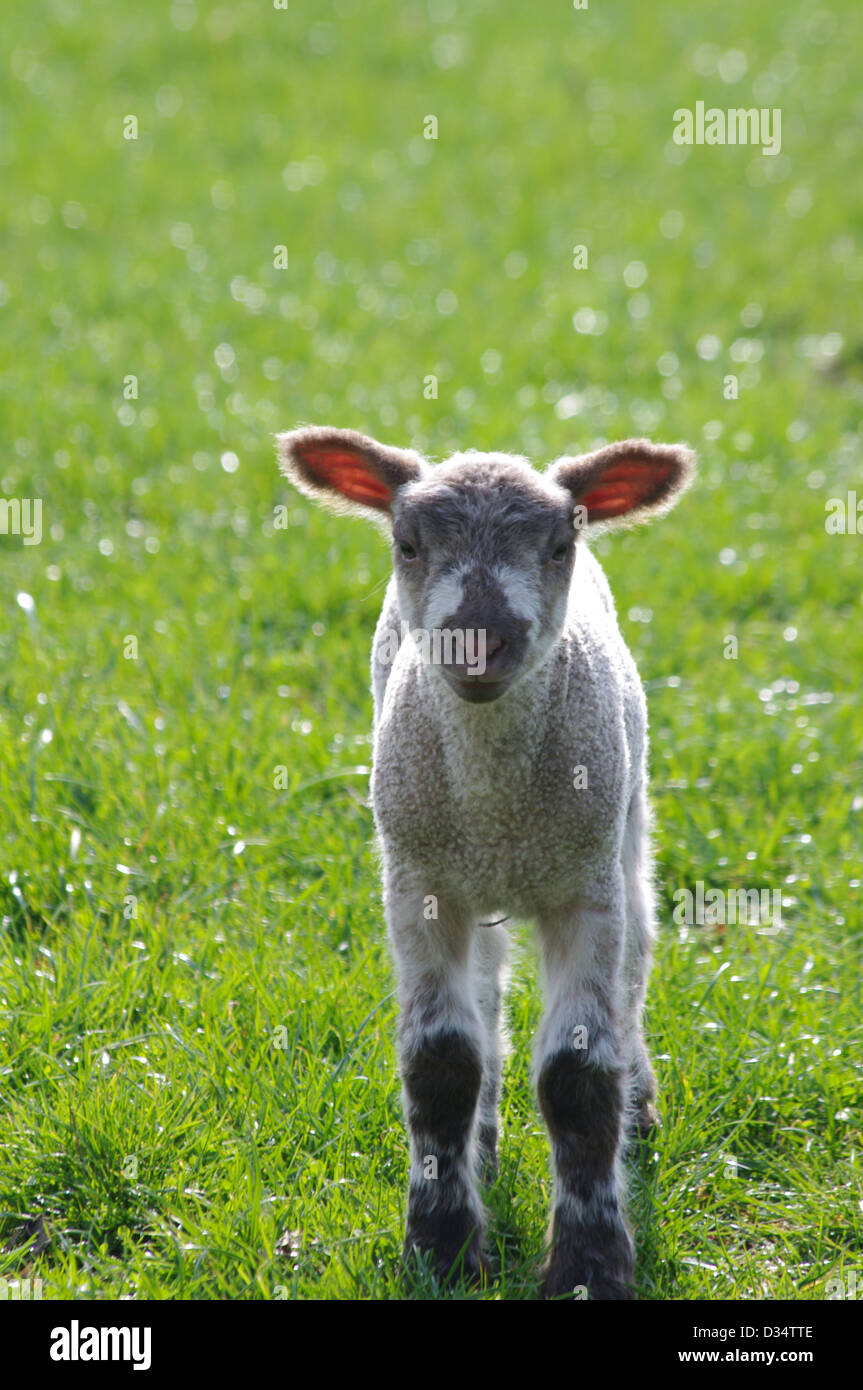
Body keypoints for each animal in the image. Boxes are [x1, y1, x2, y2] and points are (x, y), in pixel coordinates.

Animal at [276, 426, 695, 1300]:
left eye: (560, 544)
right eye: (405, 544)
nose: (476, 640)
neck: (496, 810)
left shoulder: (583, 889)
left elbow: (578, 1077)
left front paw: (588, 1263)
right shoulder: (420, 884)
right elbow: (440, 1063)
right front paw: (440, 1245)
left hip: (624, 826)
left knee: (638, 957)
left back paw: (638, 1102)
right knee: (489, 992)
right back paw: (487, 1136)